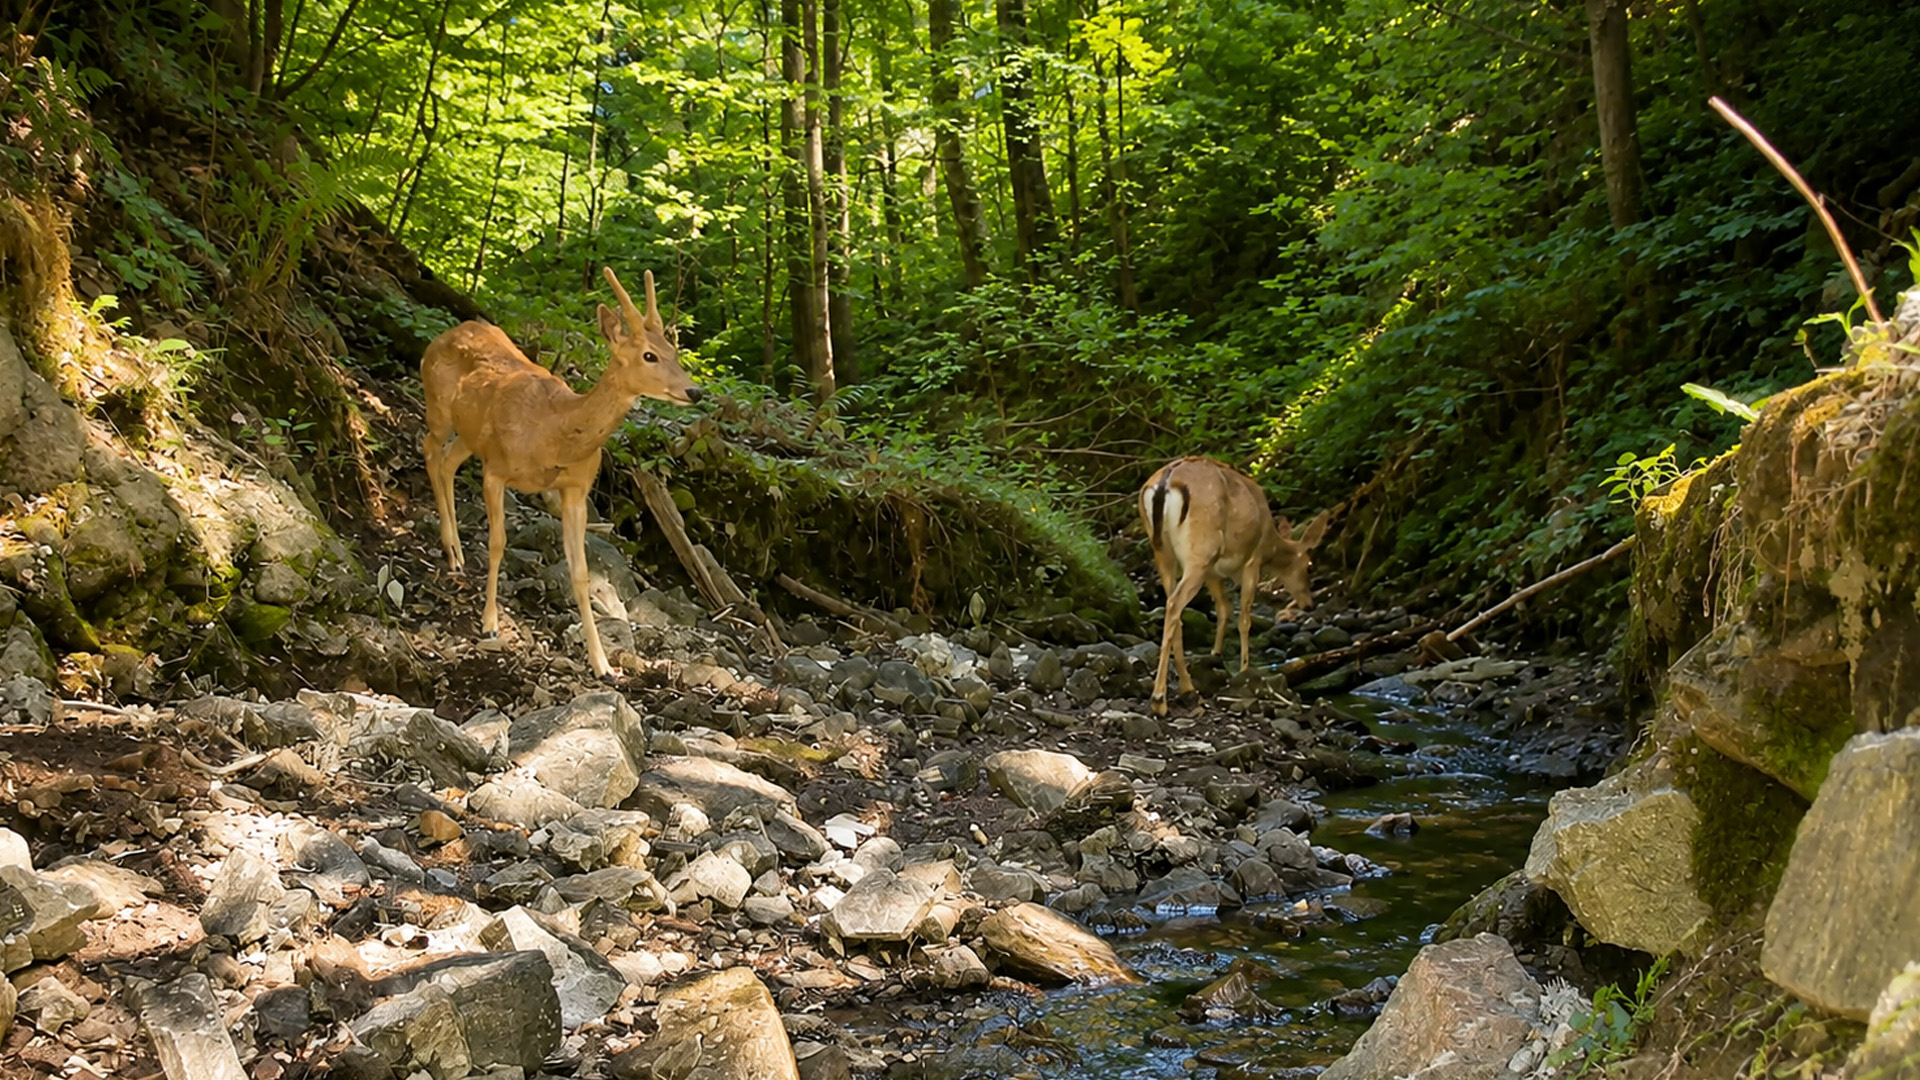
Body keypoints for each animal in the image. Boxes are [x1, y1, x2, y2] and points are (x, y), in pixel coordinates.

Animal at [422, 267, 702, 679]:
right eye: (649, 355)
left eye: (674, 352)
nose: (694, 391)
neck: (555, 432)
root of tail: (447, 333)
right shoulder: (497, 471)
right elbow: (497, 543)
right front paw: (489, 623)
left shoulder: (577, 491)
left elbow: (582, 572)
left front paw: (603, 664)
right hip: (438, 407)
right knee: (429, 449)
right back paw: (452, 551)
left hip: (471, 435)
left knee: (447, 462)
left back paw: (455, 550)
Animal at [1139, 456, 1329, 716]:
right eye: (1309, 566)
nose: (1309, 604)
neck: (1270, 543)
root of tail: (1164, 483)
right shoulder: (1252, 562)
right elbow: (1244, 618)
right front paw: (1244, 670)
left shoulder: (1214, 573)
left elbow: (1224, 609)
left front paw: (1216, 655)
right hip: (1201, 550)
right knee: (1175, 603)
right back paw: (1159, 700)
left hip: (1164, 553)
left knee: (1173, 607)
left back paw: (1188, 689)